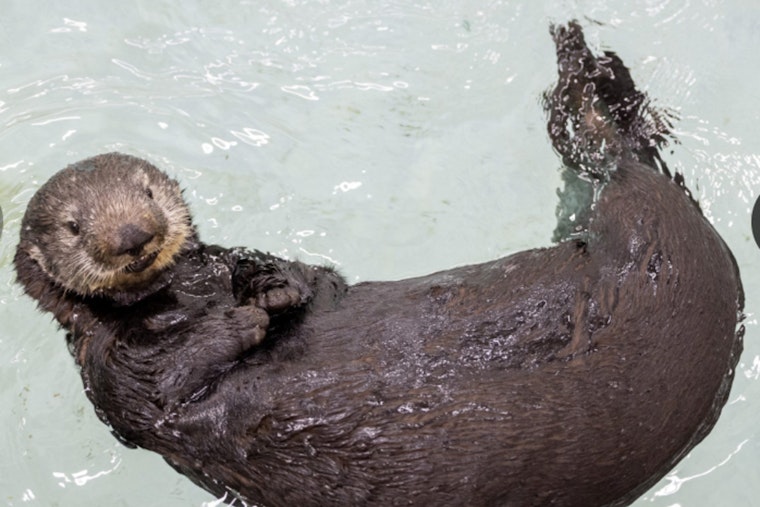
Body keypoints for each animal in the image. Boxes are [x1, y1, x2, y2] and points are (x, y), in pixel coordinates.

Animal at [14, 22, 743, 507]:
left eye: (147, 191)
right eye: (75, 225)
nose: (135, 235)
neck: (184, 299)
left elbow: (312, 281)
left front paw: (271, 288)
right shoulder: (119, 382)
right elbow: (169, 389)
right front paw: (245, 319)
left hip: (649, 243)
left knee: (612, 156)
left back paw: (581, 61)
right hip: (658, 249)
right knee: (612, 154)